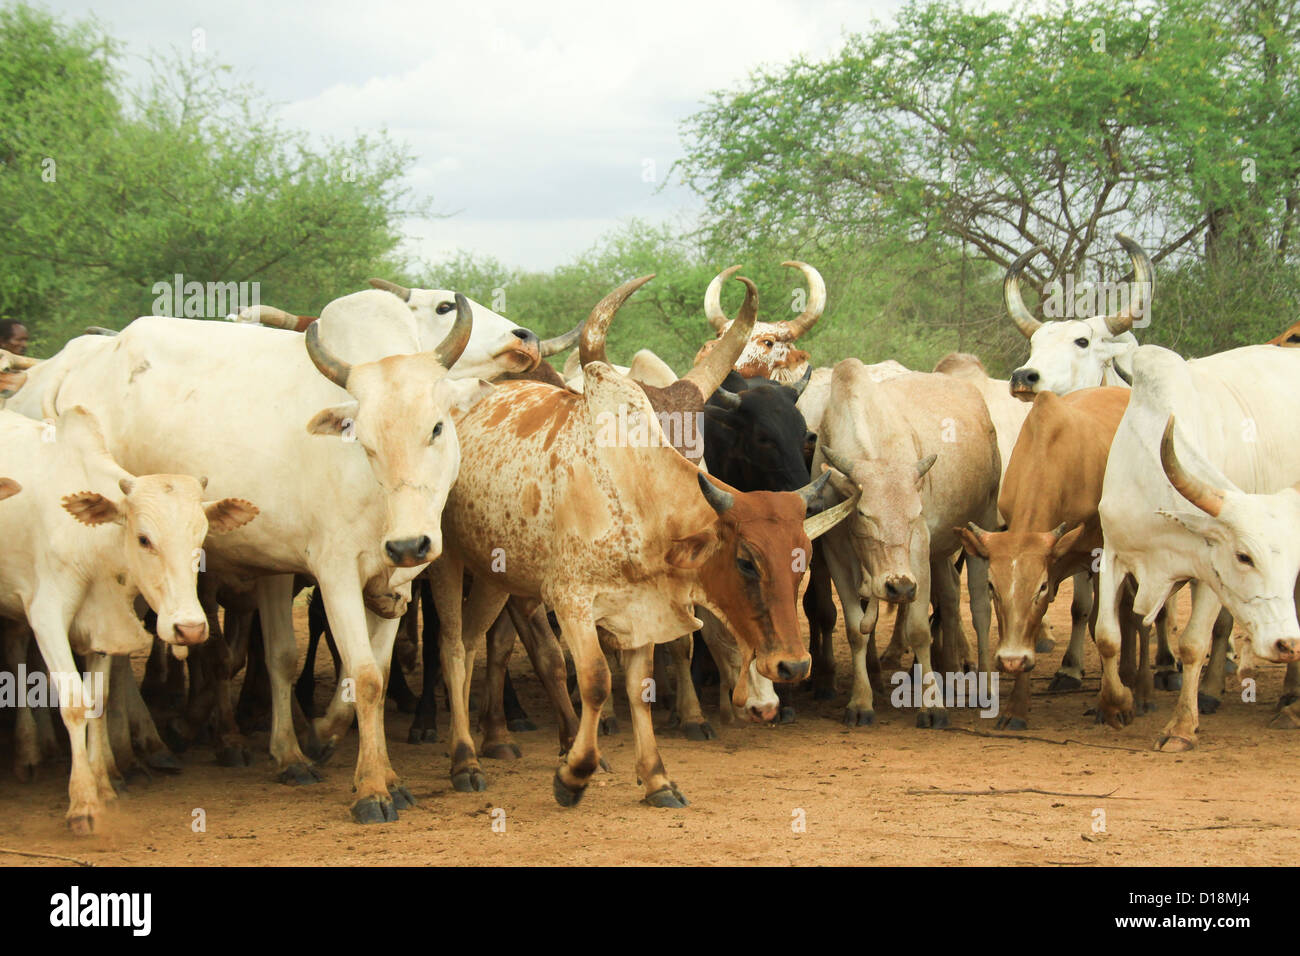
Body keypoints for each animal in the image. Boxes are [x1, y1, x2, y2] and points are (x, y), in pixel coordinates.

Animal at [0, 406, 258, 832]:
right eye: (144, 539)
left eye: (200, 540)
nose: (190, 628)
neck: (89, 542)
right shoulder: (47, 615)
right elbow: (74, 702)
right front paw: (83, 803)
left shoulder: (105, 627)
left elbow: (99, 700)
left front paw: (104, 787)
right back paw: (28, 753)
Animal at [429, 275, 854, 807]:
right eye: (746, 562)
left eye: (802, 564)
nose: (793, 666)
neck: (632, 498)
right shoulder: (571, 599)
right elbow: (594, 679)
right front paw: (574, 774)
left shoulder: (642, 608)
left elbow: (641, 687)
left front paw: (656, 779)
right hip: (449, 565)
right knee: (452, 647)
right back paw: (464, 759)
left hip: (494, 576)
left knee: (472, 644)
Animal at [814, 360, 1001, 727]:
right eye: (862, 512)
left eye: (914, 514)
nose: (898, 587)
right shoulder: (835, 550)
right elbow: (856, 629)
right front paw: (860, 702)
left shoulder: (917, 549)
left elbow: (917, 629)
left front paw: (932, 706)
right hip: (942, 549)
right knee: (951, 595)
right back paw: (951, 674)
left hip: (981, 525)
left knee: (980, 608)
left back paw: (983, 685)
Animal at [957, 388, 1131, 728]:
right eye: (992, 587)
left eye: (1040, 587)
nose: (1010, 660)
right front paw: (1016, 708)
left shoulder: (1101, 558)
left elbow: (1103, 628)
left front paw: (1112, 703)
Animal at [1094, 343, 1300, 750]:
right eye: (1244, 556)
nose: (1286, 643)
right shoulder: (1113, 555)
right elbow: (1107, 635)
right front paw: (1117, 704)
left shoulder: (1207, 575)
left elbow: (1192, 645)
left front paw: (1182, 728)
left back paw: (1289, 704)